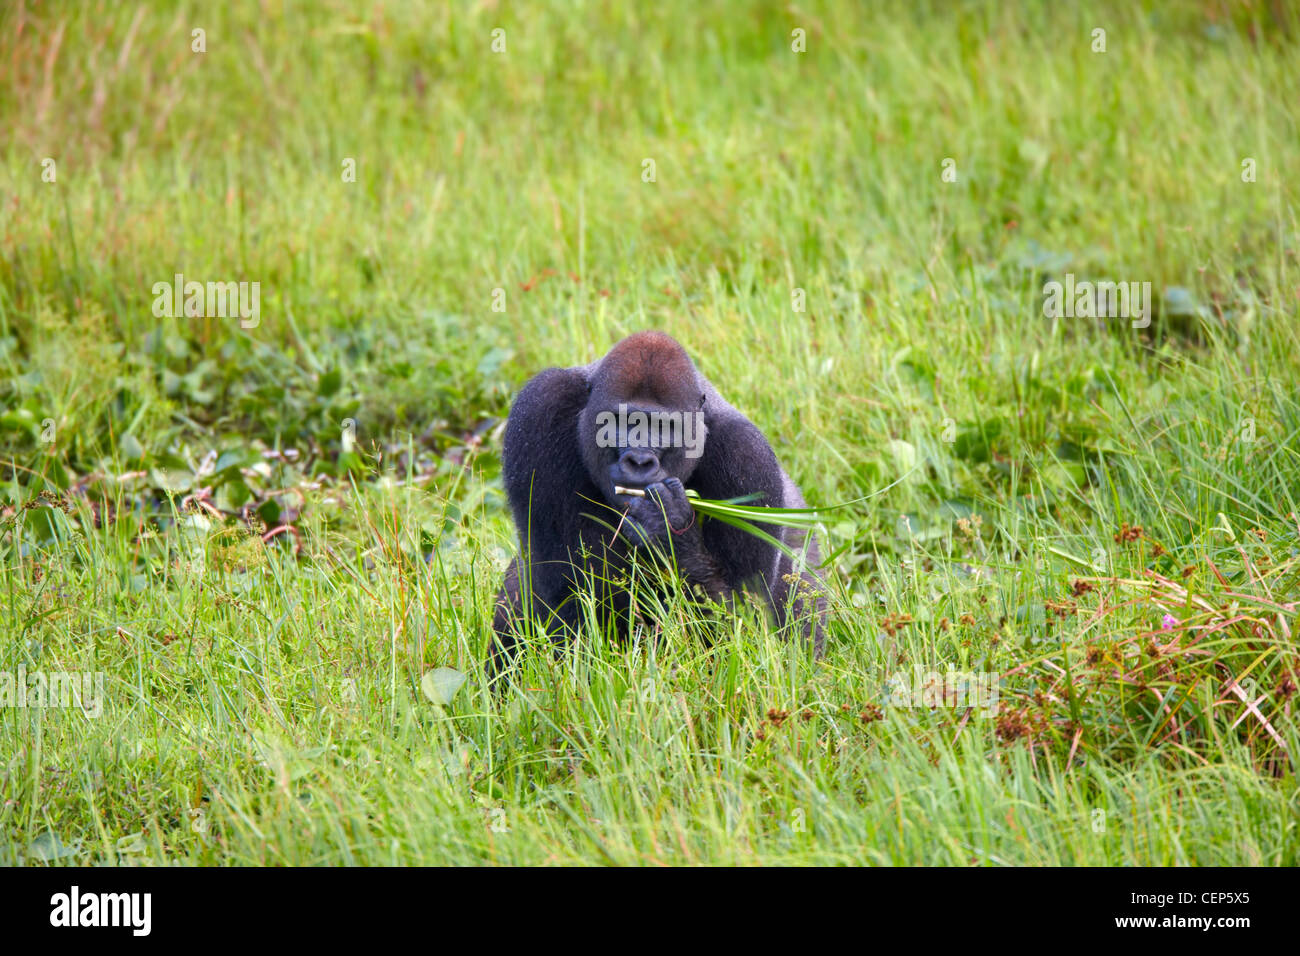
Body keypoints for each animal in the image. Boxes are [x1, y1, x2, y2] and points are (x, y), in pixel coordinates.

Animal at [489, 331, 825, 679]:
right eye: (621, 422)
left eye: (664, 427)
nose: (639, 461)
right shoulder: (541, 407)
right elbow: (571, 590)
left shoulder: (747, 457)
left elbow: (743, 626)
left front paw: (666, 530)